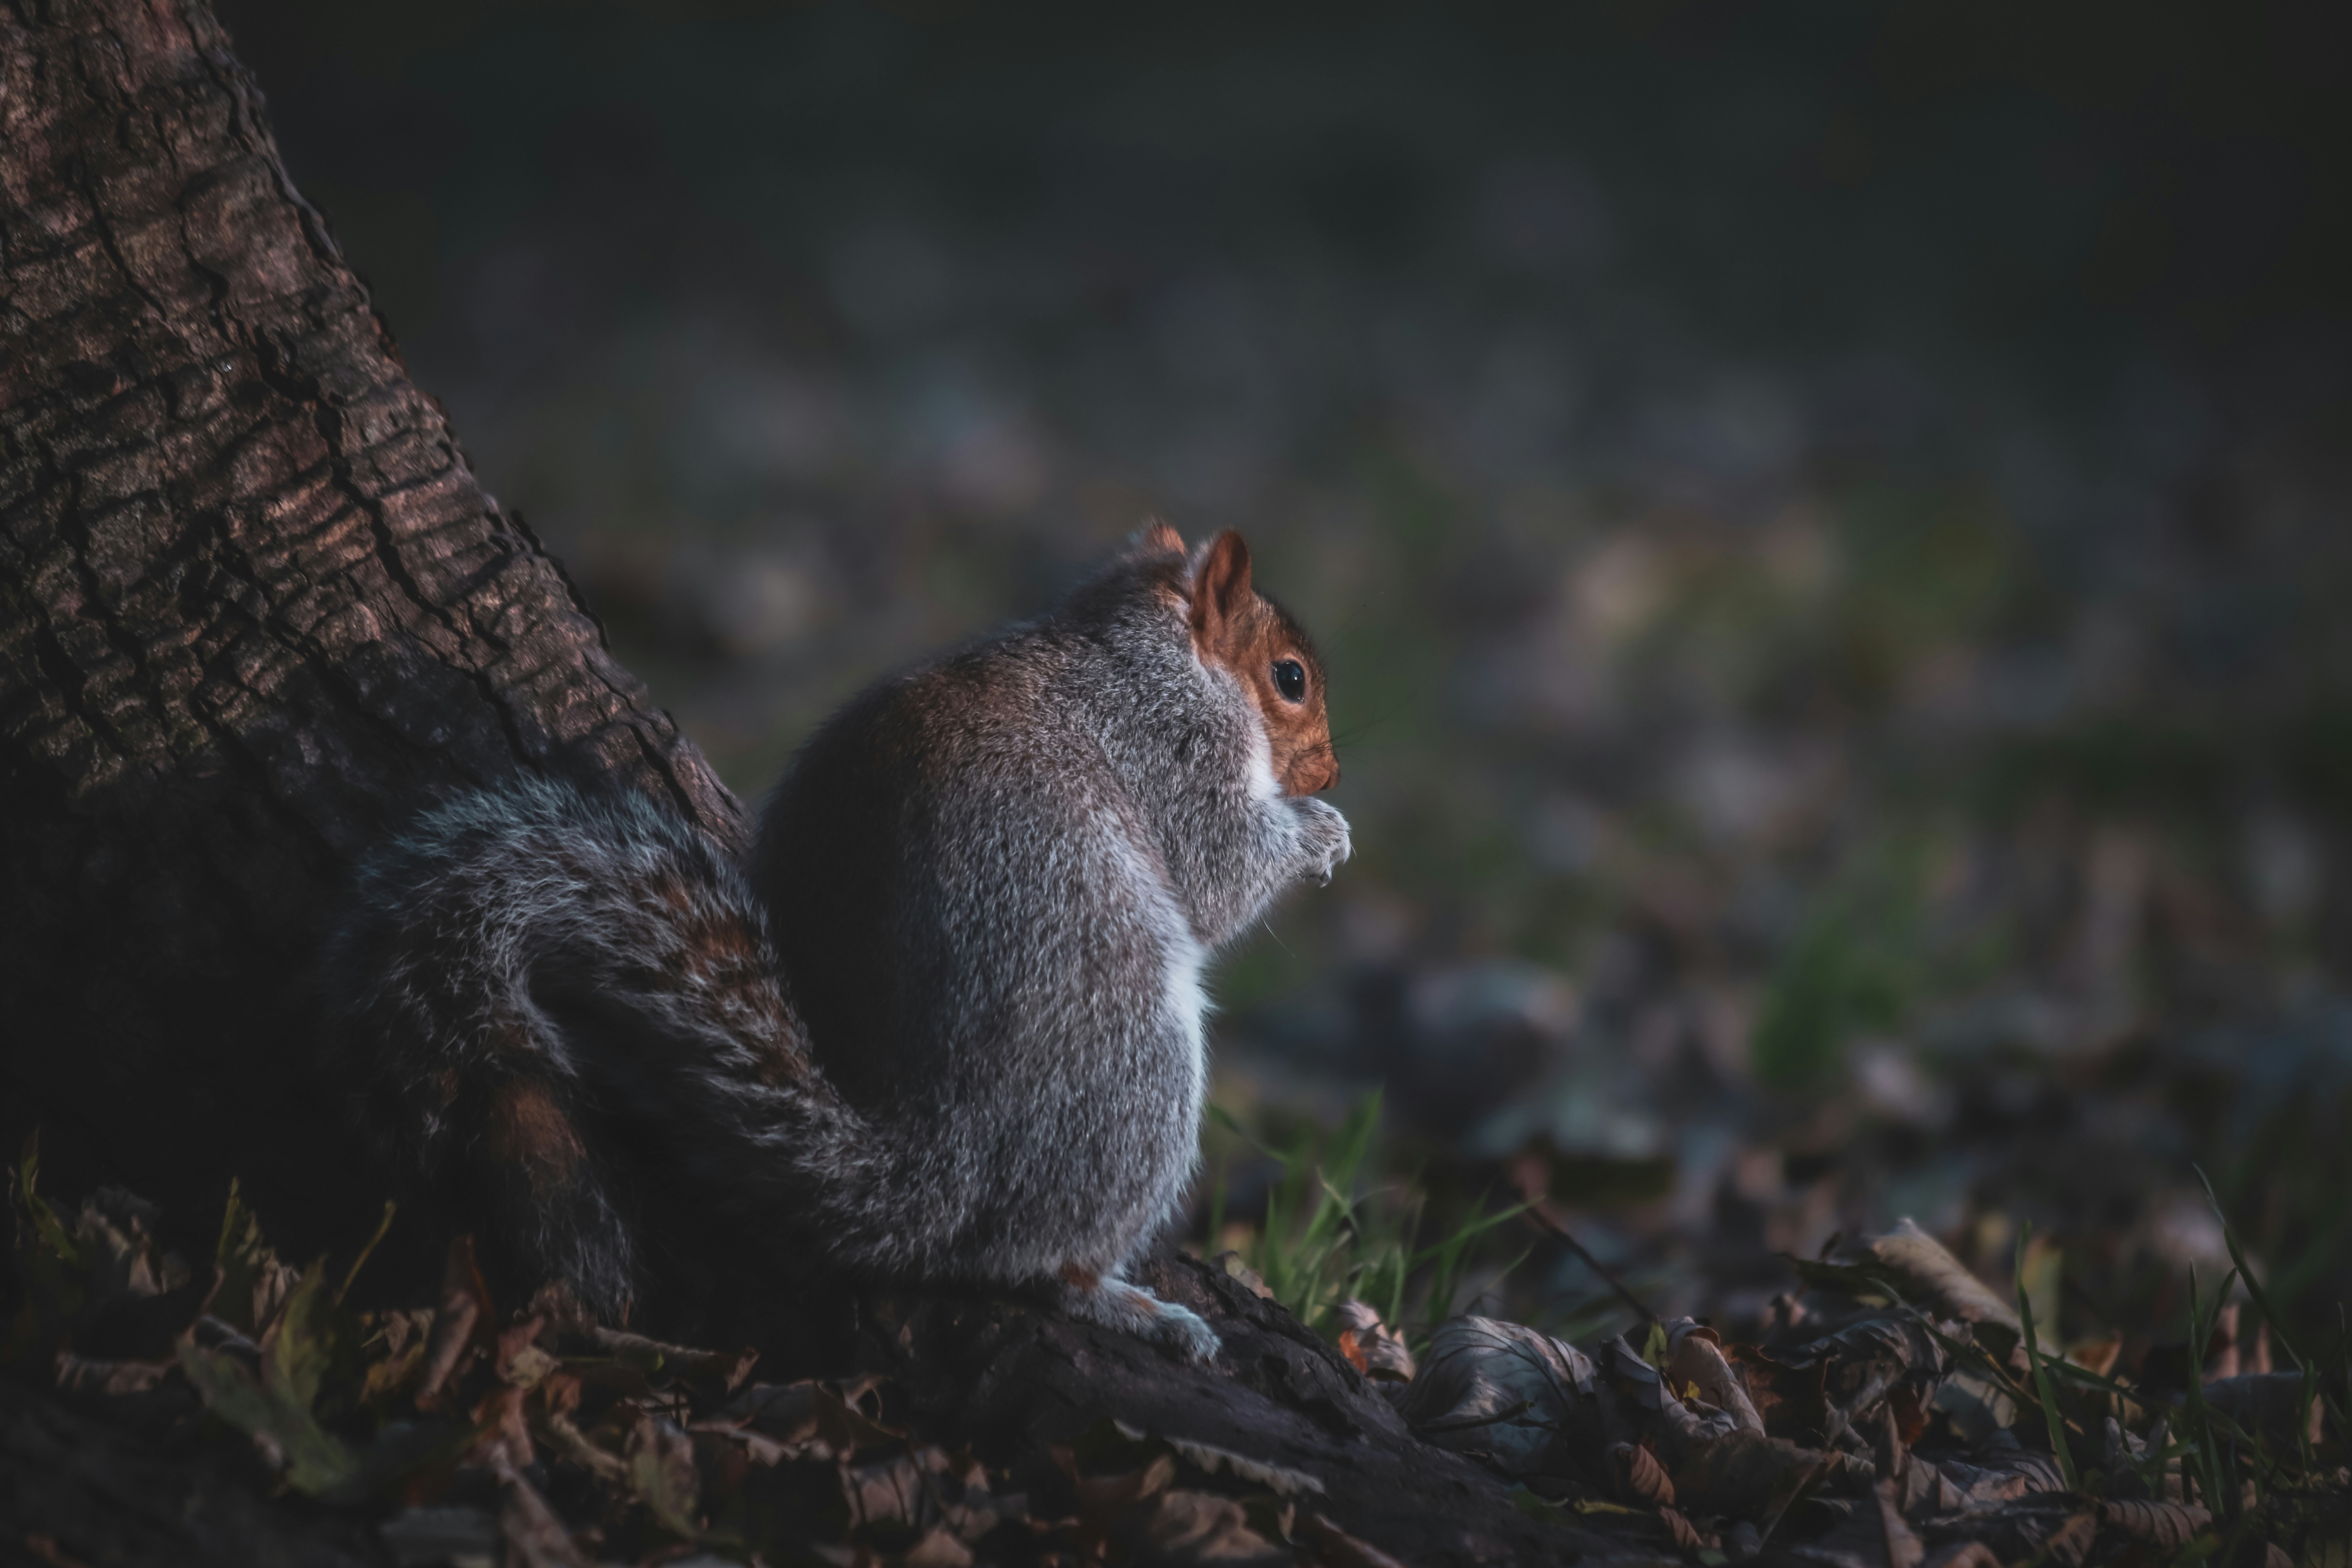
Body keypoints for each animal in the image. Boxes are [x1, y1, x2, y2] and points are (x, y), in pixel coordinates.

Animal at [319, 525, 1349, 1361]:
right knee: (1035, 1260)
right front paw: (1318, 833)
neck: (1144, 644)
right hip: (1140, 1069)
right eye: (1290, 678)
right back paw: (1129, 1302)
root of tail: (939, 1173)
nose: (1334, 769)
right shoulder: (1170, 750)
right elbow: (1216, 870)